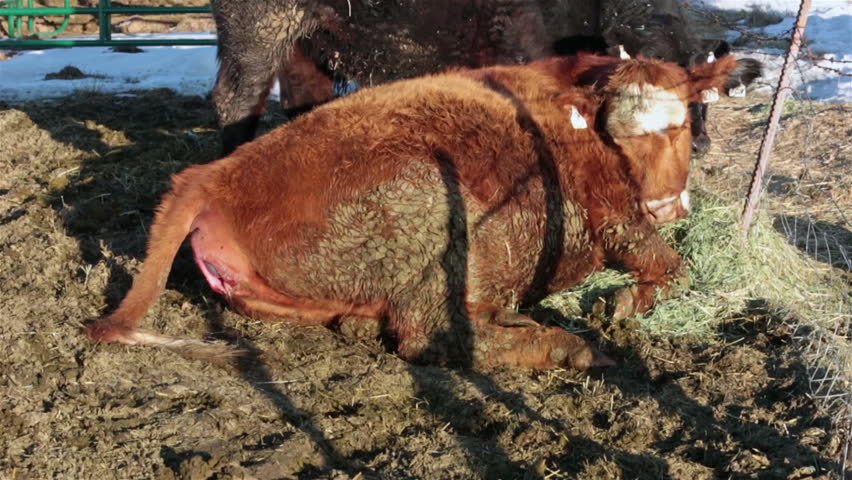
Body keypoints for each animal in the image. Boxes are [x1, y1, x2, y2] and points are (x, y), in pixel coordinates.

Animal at [87, 54, 739, 370]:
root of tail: (212, 176)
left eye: (681, 123)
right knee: (427, 331)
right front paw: (624, 303)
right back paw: (563, 346)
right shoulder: (616, 219)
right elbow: (670, 266)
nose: (663, 203)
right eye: (620, 134)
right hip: (435, 205)